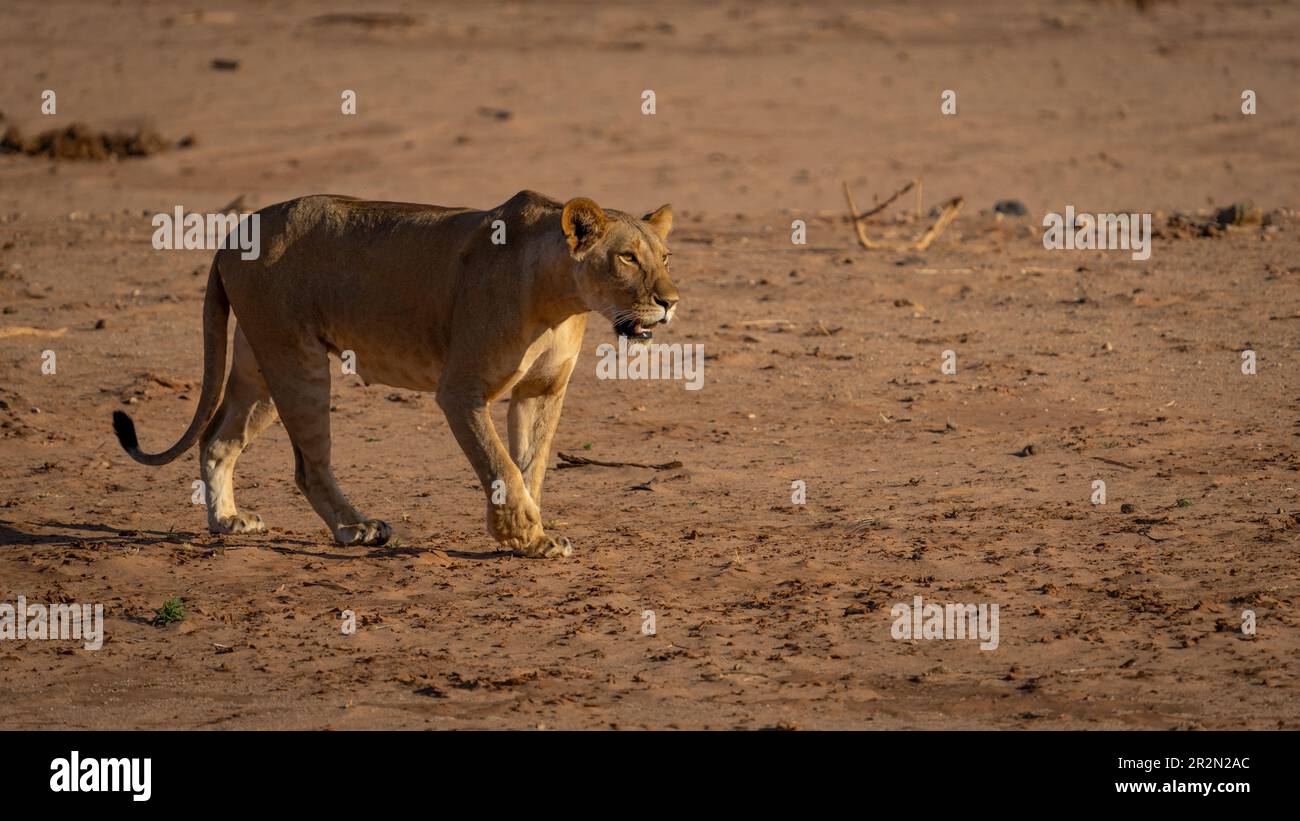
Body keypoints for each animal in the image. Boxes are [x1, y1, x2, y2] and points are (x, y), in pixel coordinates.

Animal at [112, 191, 679, 558]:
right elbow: (501, 465)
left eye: (666, 256)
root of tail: (233, 235)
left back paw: (227, 521)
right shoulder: (460, 390)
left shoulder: (542, 391)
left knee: (217, 438)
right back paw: (356, 529)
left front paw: (533, 534)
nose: (671, 302)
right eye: (627, 258)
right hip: (296, 359)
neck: (560, 300)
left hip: (260, 363)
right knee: (308, 466)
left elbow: (531, 465)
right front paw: (523, 536)